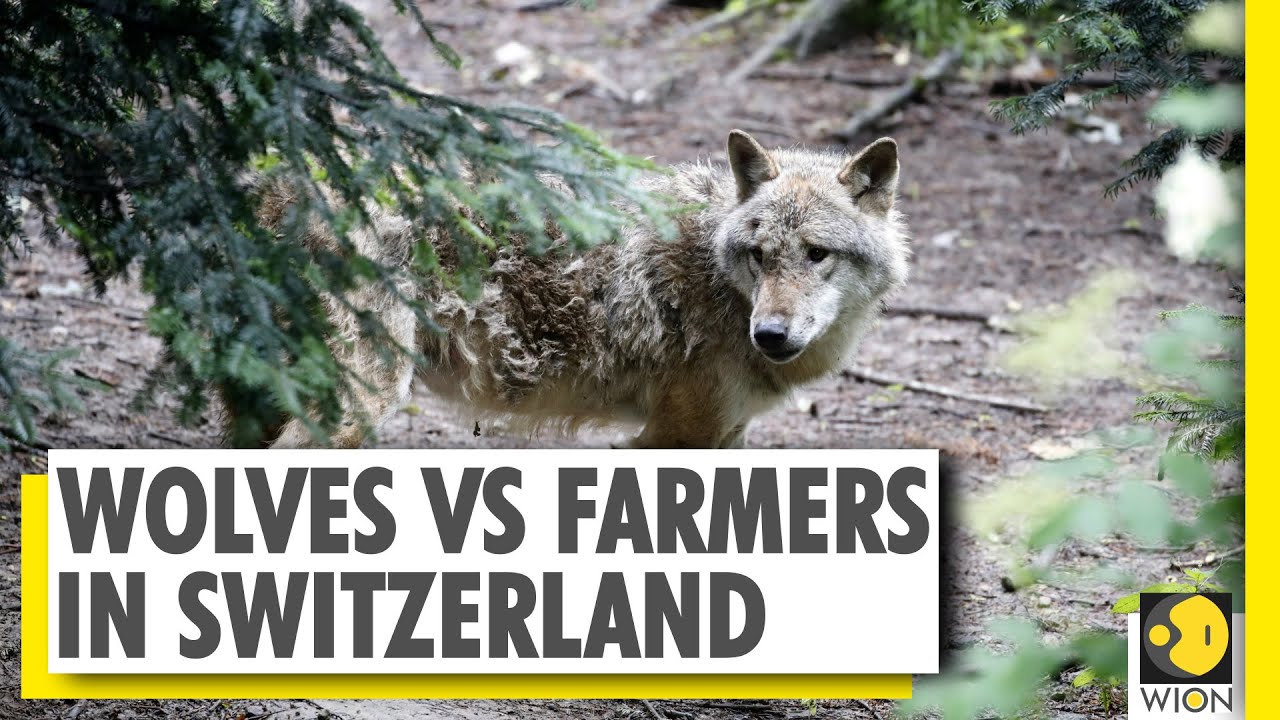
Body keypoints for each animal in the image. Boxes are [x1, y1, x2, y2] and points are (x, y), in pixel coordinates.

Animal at [262, 130, 910, 448]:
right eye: (759, 255)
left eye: (816, 254)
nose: (770, 334)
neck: (718, 283)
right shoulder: (674, 438)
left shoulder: (726, 434)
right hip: (357, 410)